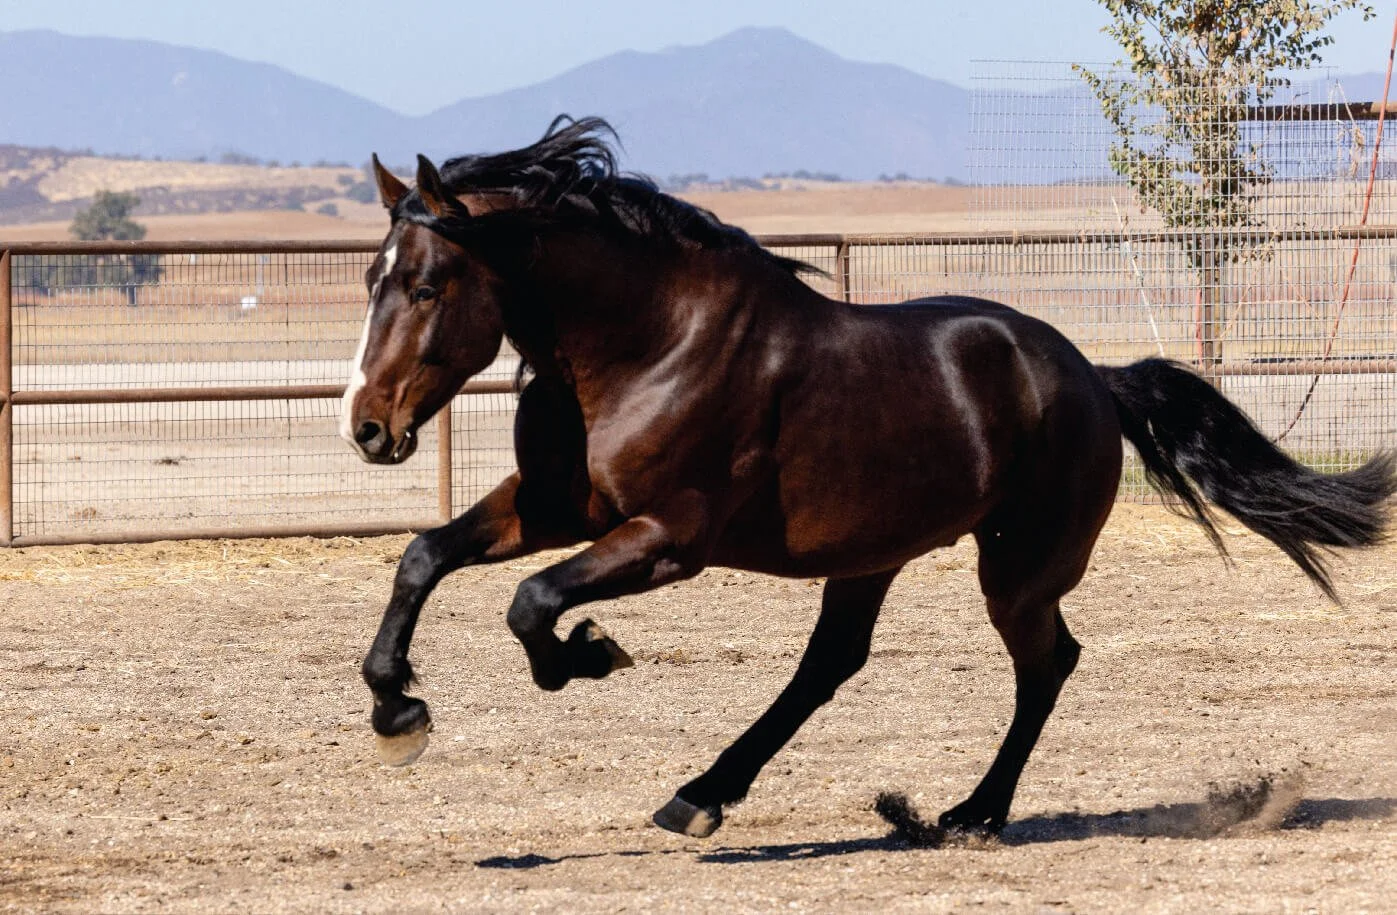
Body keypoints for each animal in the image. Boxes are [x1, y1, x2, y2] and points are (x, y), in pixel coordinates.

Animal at [340, 117, 1395, 839]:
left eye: (427, 285)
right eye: (370, 280)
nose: (368, 428)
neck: (646, 345)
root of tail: (1095, 377)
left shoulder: (670, 539)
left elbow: (529, 601)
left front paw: (588, 655)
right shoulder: (559, 508)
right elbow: (423, 555)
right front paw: (397, 710)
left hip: (1015, 569)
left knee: (1045, 663)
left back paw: (971, 811)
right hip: (870, 554)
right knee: (830, 667)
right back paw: (704, 794)